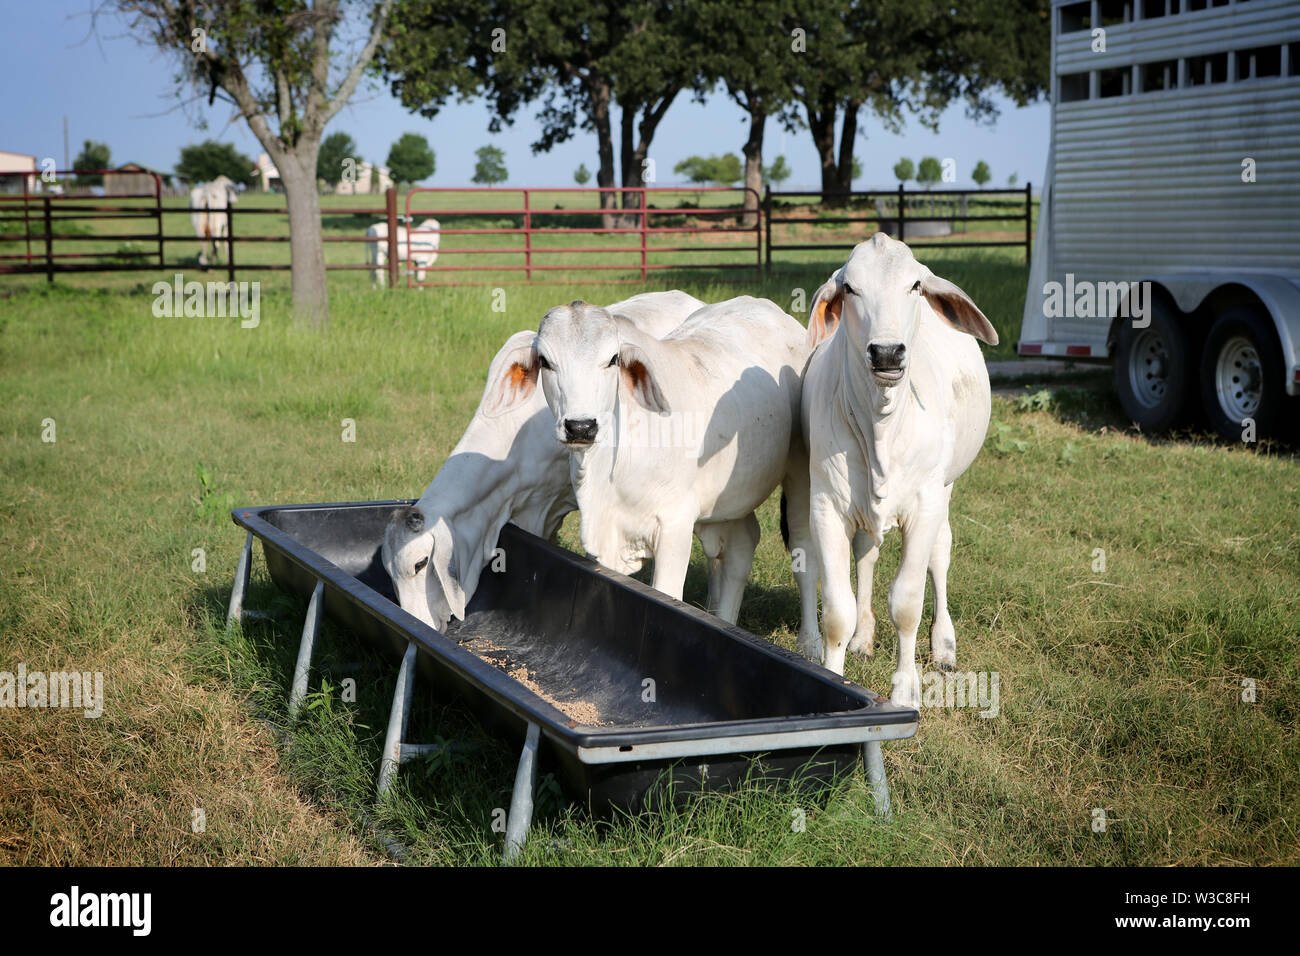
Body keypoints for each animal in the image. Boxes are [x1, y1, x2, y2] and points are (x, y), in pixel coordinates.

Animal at [509, 296, 820, 647]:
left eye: (613, 359)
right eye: (546, 361)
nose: (581, 427)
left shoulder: (675, 527)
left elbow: (666, 595)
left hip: (800, 473)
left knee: (803, 547)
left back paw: (811, 642)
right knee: (741, 546)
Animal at [800, 231, 999, 707]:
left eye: (915, 286)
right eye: (850, 288)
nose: (887, 352)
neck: (881, 426)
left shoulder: (925, 505)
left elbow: (907, 604)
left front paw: (906, 689)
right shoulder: (826, 507)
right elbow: (837, 610)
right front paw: (836, 671)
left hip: (946, 489)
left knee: (941, 554)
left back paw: (943, 645)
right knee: (867, 556)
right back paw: (863, 637)